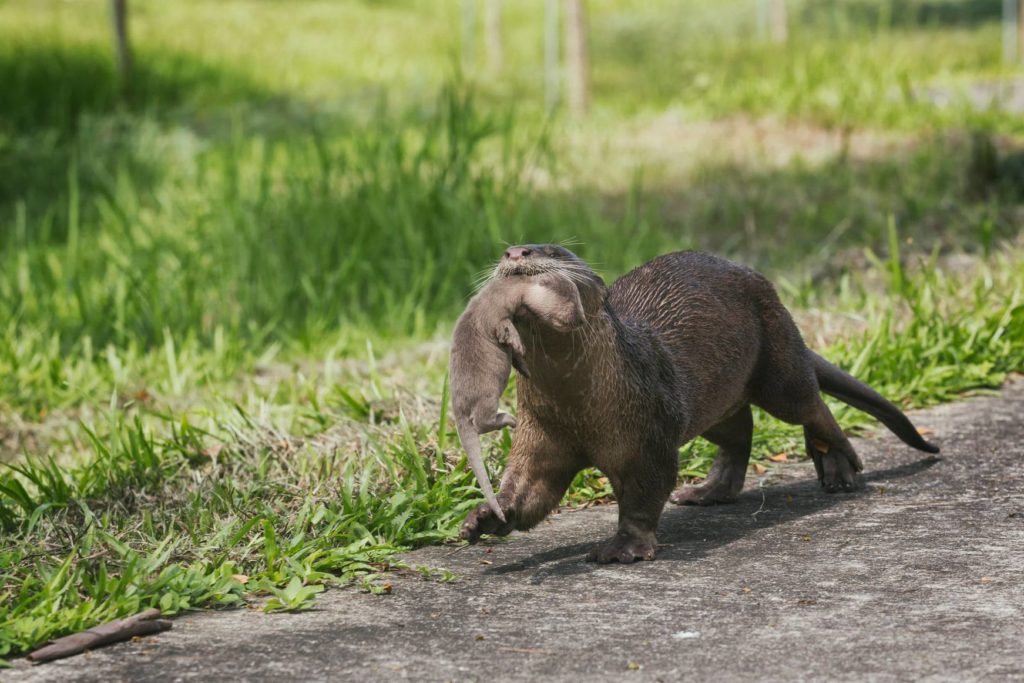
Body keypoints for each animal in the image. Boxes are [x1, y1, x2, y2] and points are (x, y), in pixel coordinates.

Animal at [450, 273, 586, 522]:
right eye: (570, 299)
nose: (581, 318)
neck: (506, 290)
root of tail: (458, 407)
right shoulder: (493, 313)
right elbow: (504, 329)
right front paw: (519, 344)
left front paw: (523, 366)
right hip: (486, 395)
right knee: (481, 422)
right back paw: (511, 420)